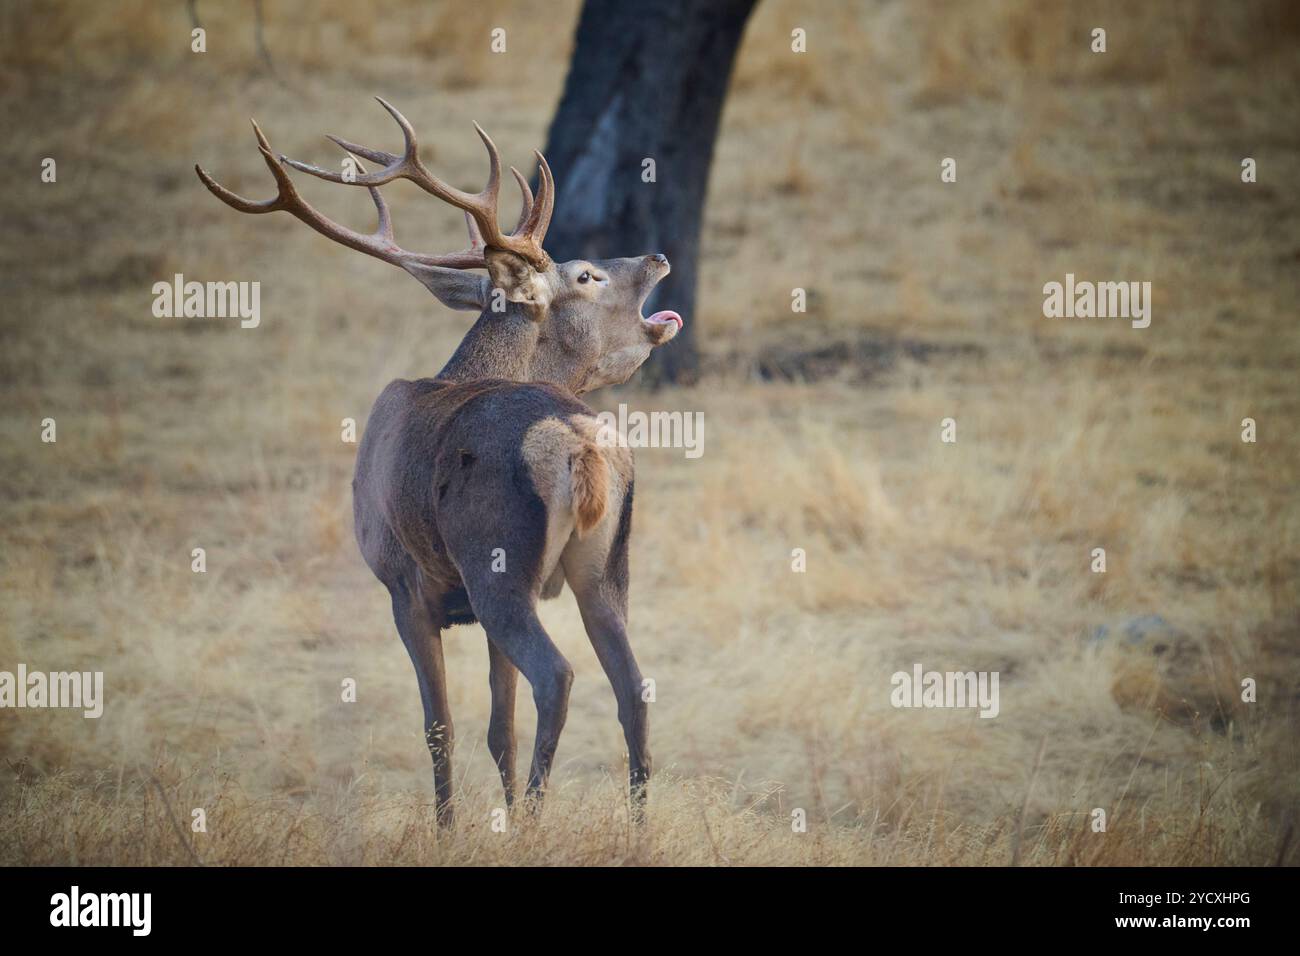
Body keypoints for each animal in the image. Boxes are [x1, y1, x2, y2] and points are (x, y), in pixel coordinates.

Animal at [196, 98, 682, 826]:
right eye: (586, 274)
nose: (657, 255)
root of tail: (576, 440)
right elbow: (498, 728)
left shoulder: (403, 584)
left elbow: (440, 727)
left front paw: (451, 831)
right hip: (604, 565)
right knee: (633, 688)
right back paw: (634, 830)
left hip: (495, 561)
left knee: (558, 674)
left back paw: (537, 822)